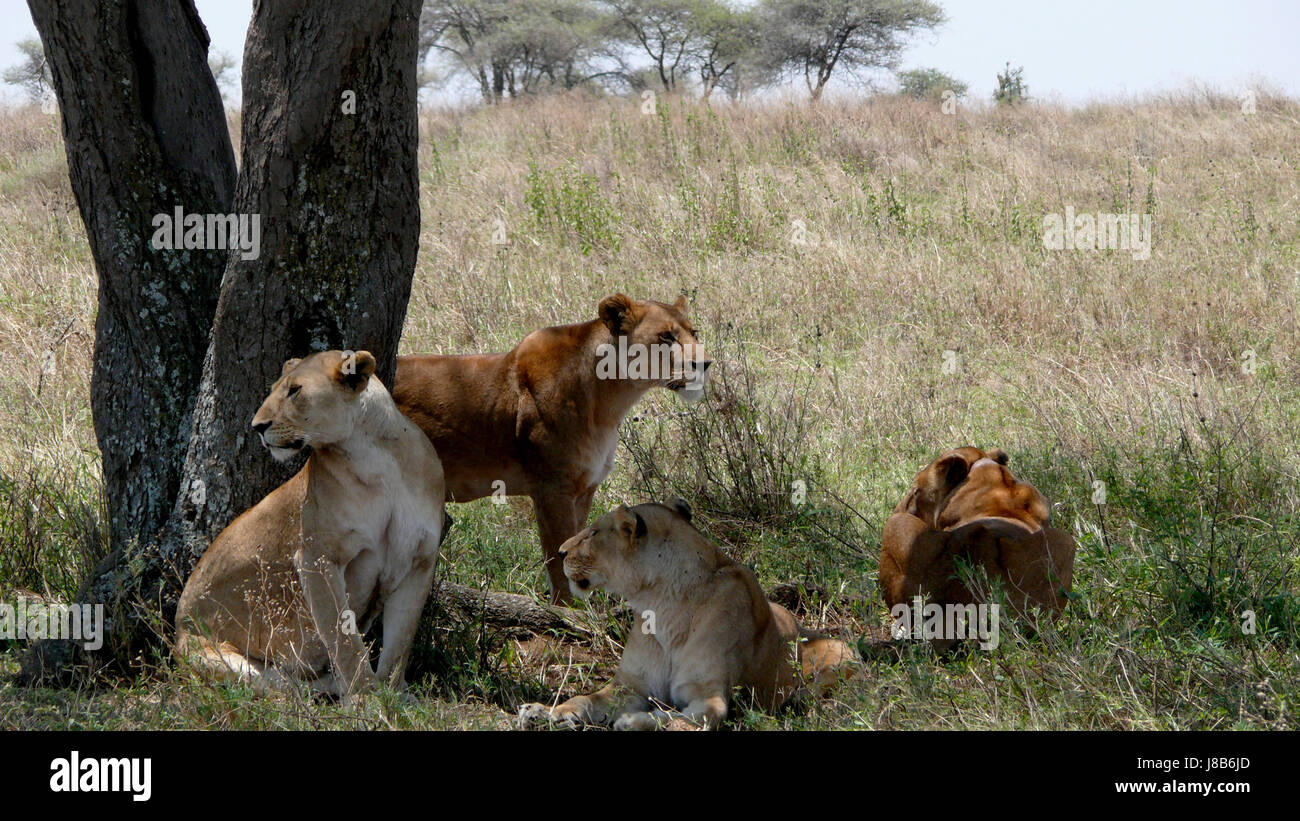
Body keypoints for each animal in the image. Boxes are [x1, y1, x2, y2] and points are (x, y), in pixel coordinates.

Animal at [175, 350, 449, 699]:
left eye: (295, 391)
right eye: (274, 389)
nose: (257, 426)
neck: (373, 454)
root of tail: (175, 631)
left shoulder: (419, 559)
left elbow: (400, 642)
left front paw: (394, 695)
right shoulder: (317, 558)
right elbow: (343, 638)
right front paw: (366, 698)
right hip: (222, 660)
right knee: (281, 687)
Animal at [393, 294, 711, 604]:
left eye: (694, 332)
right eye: (666, 336)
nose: (706, 364)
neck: (609, 401)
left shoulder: (584, 489)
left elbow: (577, 540)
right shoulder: (551, 488)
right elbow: (558, 557)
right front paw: (569, 611)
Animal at [516, 500, 858, 730]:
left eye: (593, 532)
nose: (559, 552)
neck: (660, 603)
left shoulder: (710, 697)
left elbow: (677, 718)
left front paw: (633, 720)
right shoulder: (628, 686)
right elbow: (584, 699)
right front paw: (543, 711)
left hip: (838, 657)